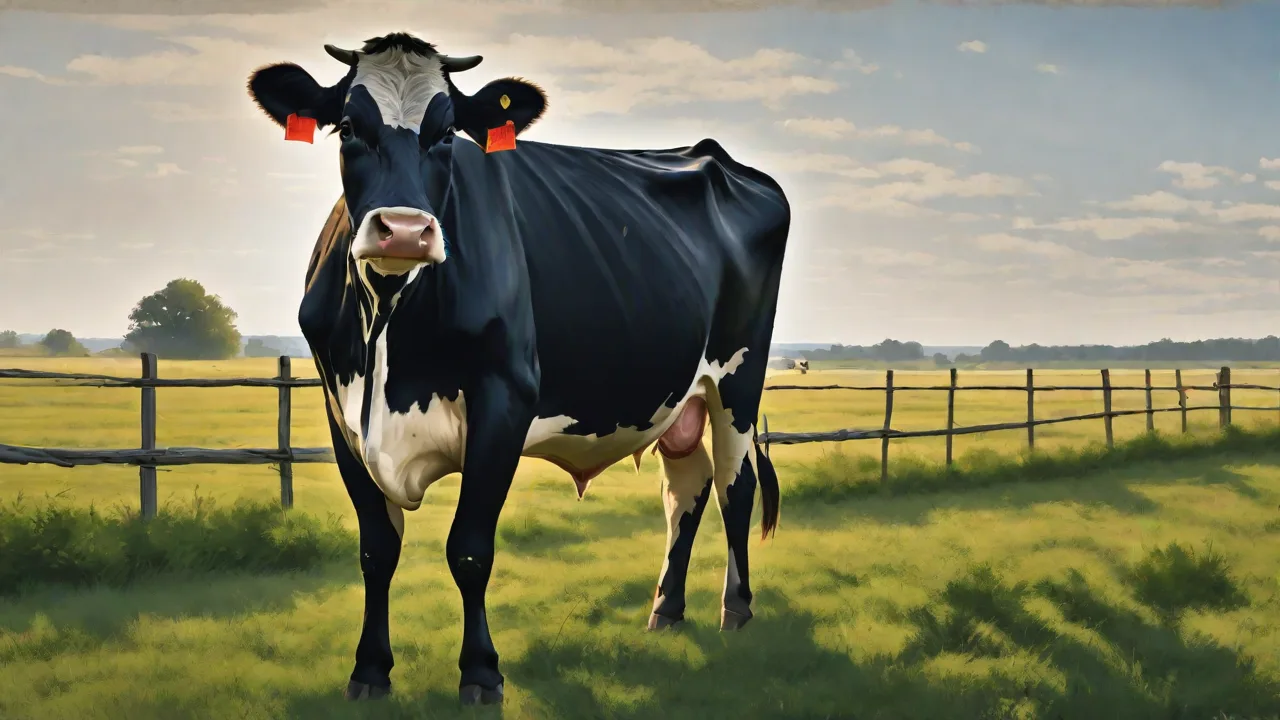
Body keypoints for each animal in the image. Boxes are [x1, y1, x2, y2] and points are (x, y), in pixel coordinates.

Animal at [246, 32, 790, 705]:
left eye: (446, 134)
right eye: (348, 126)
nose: (404, 230)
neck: (390, 334)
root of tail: (718, 157)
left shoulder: (504, 400)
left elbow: (469, 549)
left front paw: (481, 673)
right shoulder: (340, 411)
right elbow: (377, 549)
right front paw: (370, 671)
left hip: (739, 377)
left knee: (734, 488)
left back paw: (735, 611)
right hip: (678, 394)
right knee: (685, 490)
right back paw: (665, 612)